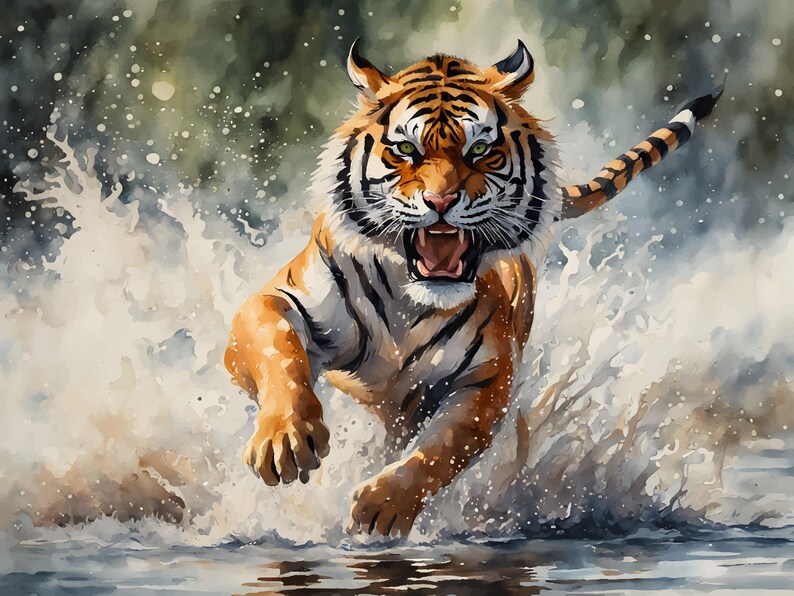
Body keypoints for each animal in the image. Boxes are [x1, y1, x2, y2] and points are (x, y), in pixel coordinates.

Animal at [224, 39, 722, 538]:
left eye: (480, 148)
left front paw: (382, 506)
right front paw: (284, 441)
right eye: (405, 149)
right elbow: (278, 351)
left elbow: (441, 450)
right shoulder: (274, 303)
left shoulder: (488, 379)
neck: (408, 296)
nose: (440, 201)